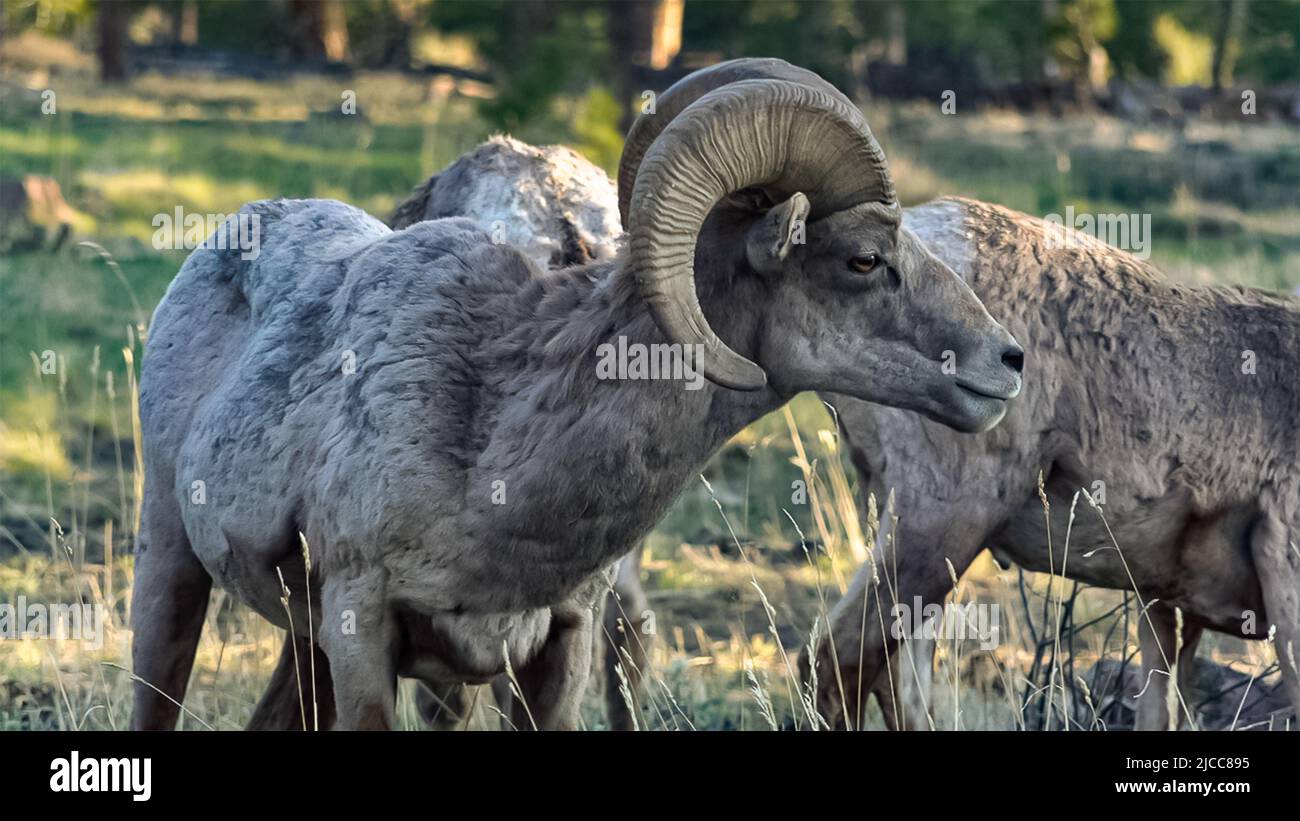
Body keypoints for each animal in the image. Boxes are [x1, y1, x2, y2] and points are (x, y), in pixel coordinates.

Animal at [130, 63, 1025, 730]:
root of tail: (229, 236)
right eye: (866, 259)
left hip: (296, 639)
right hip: (170, 566)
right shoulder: (362, 632)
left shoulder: (557, 644)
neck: (489, 455)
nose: (1008, 360)